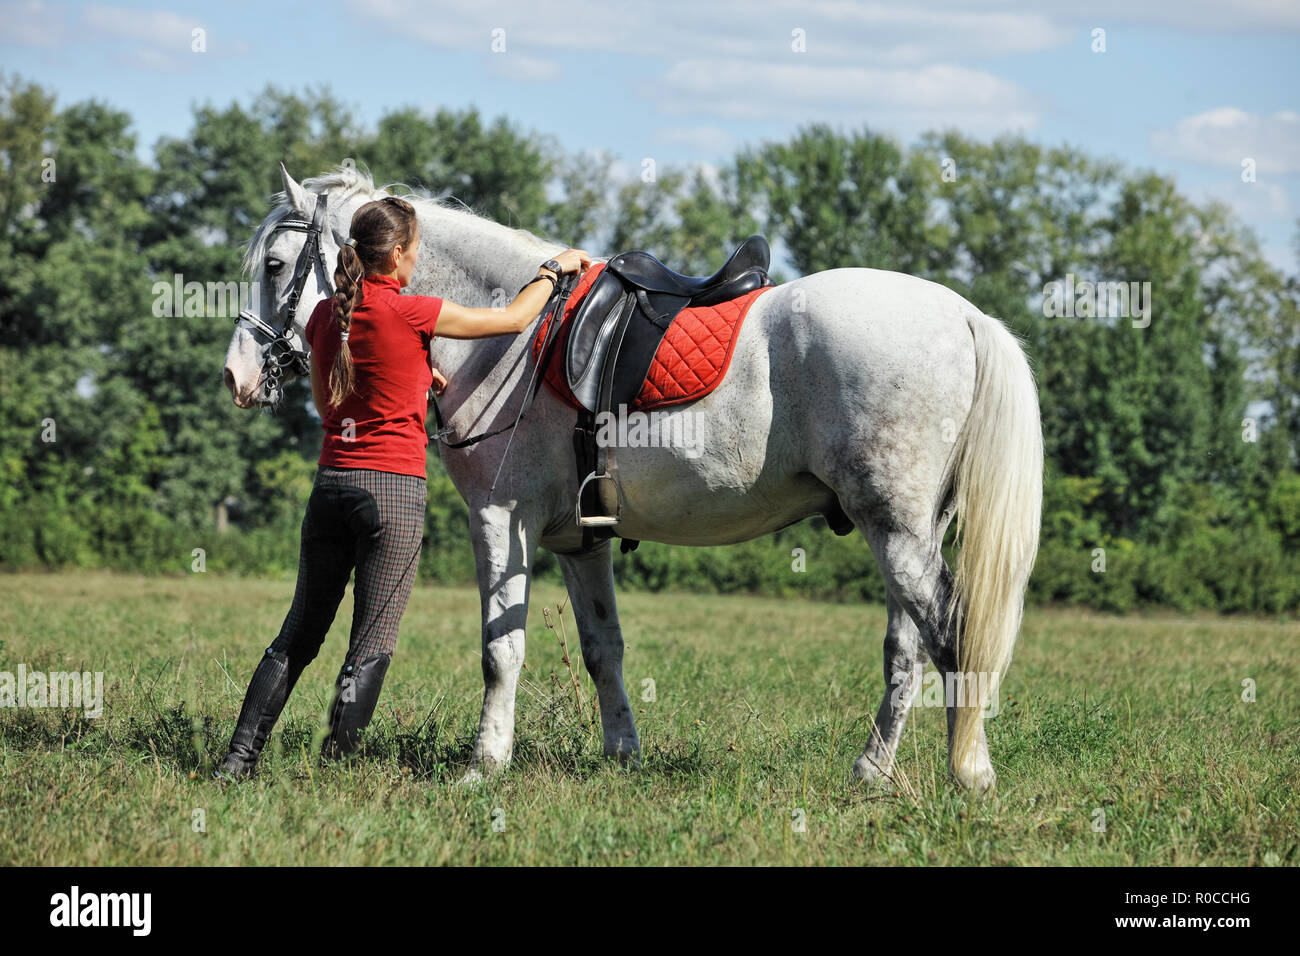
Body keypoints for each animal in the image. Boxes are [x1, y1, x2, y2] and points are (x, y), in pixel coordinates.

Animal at [223, 164, 1043, 793]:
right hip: (905, 529)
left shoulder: (500, 518)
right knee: (908, 649)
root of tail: (964, 317)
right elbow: (602, 649)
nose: (237, 376)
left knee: (951, 634)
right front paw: (622, 755)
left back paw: (969, 773)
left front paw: (484, 765)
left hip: (895, 529)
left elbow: (499, 651)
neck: (511, 332)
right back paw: (874, 772)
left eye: (274, 267)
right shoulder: (579, 541)